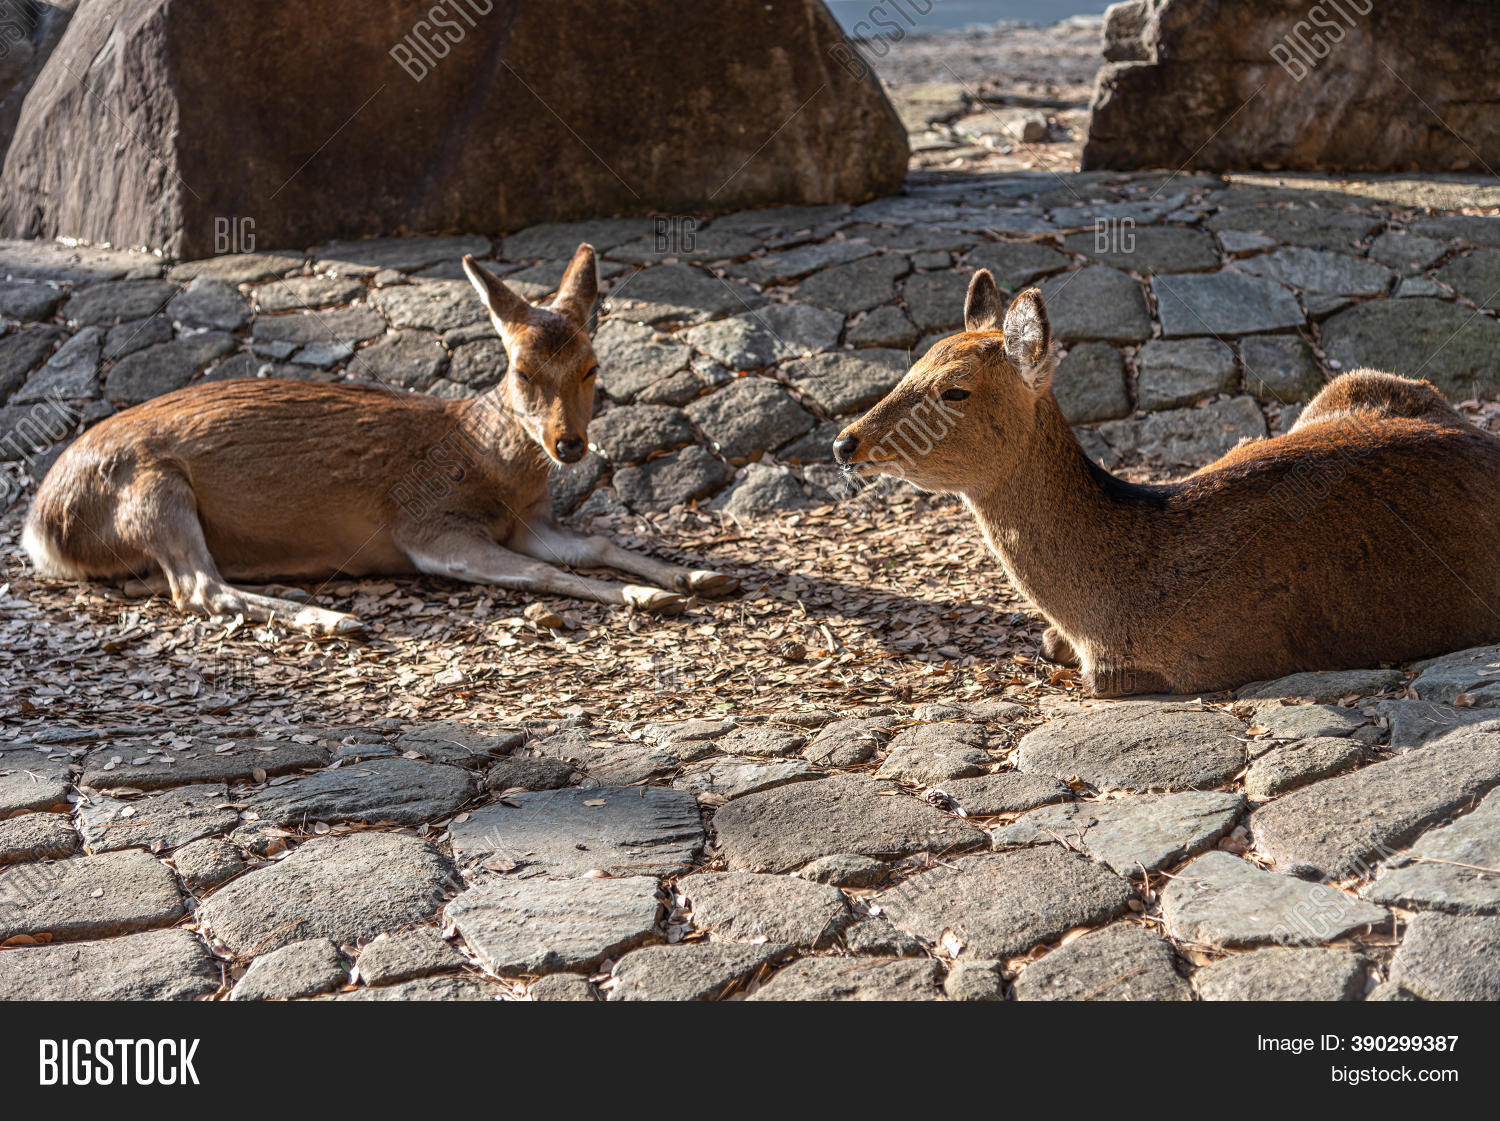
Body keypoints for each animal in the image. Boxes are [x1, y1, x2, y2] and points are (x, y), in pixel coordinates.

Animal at [22, 243, 737, 634]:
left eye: (592, 366)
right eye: (520, 371)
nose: (569, 445)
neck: (494, 470)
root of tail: (40, 529)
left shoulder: (530, 522)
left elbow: (594, 543)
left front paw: (701, 573)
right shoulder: (427, 527)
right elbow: (542, 571)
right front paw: (651, 595)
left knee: (169, 585)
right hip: (151, 489)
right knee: (197, 588)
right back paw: (334, 619)